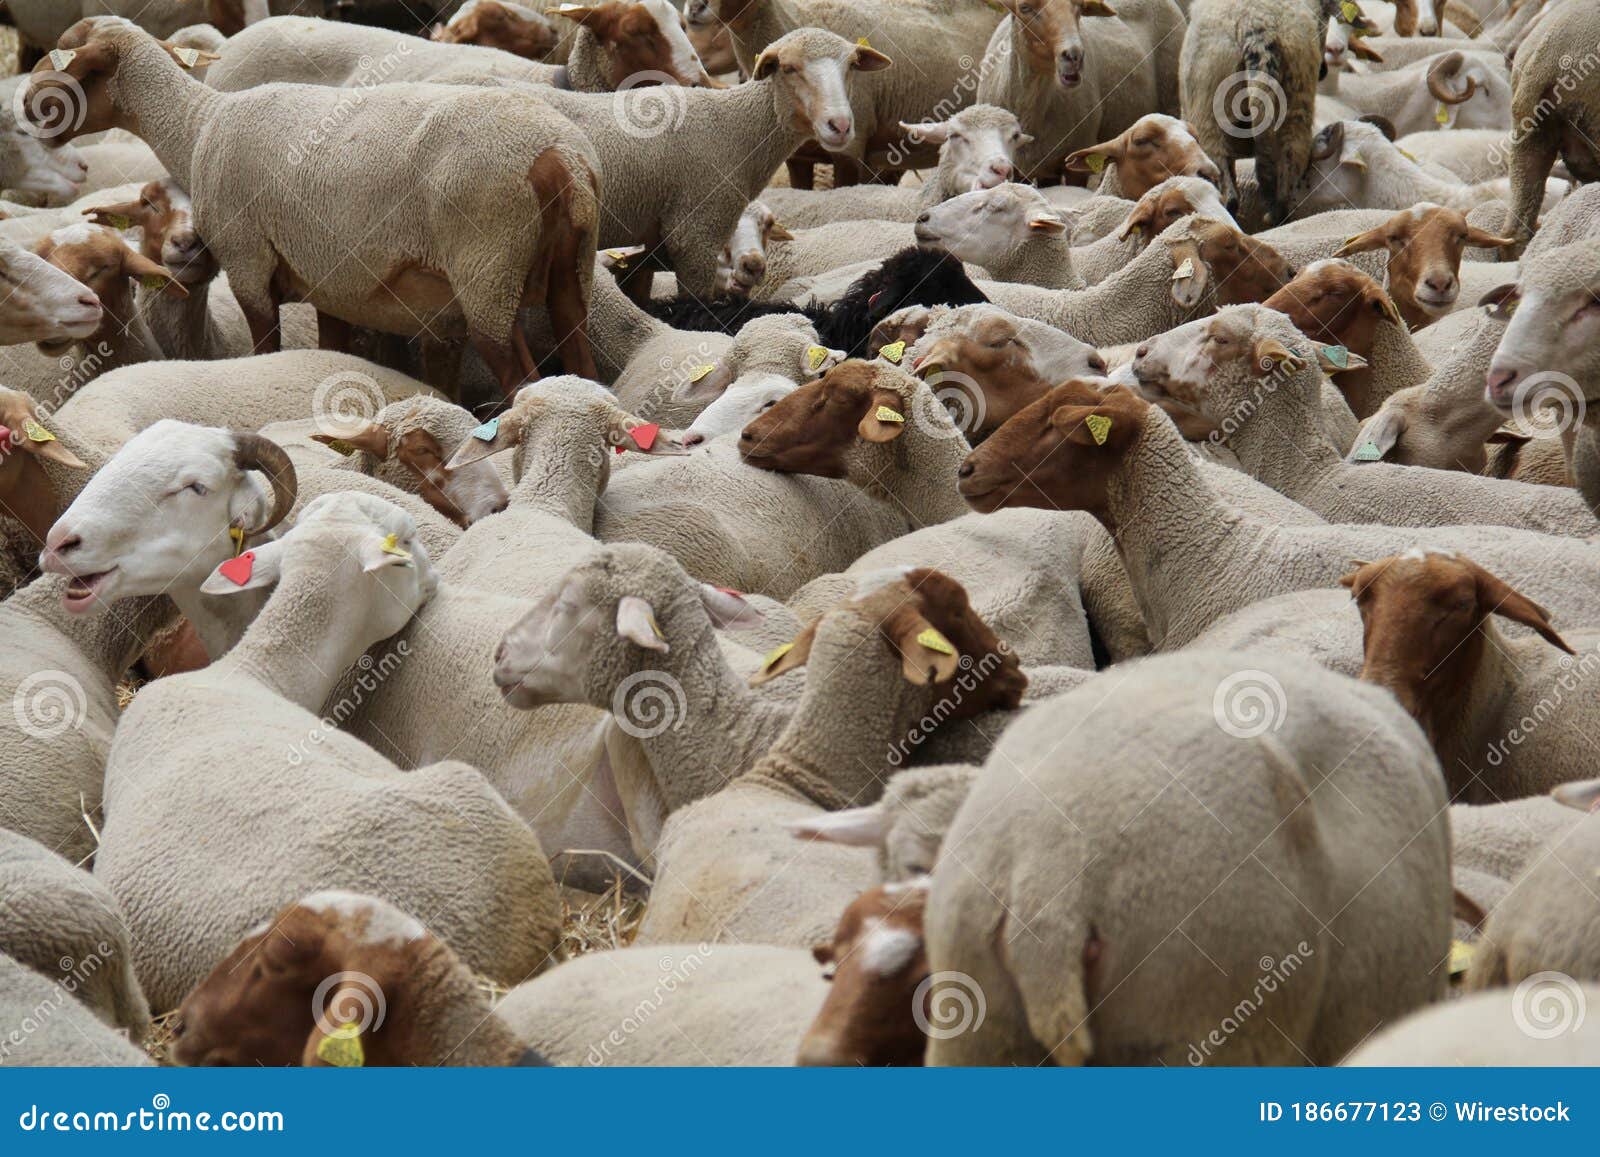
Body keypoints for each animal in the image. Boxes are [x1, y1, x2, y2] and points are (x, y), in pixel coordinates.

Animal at [34, 19, 603, 395]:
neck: (199, 124)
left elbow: (266, 348)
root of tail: (561, 157)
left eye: (75, 66)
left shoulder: (248, 260)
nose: (27, 108)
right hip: (571, 273)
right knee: (584, 367)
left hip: (488, 273)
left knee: (523, 380)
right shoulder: (330, 280)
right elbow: (331, 348)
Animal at [1181, 0, 1321, 225]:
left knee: (1224, 184)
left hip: (1208, 105)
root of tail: (1257, 25)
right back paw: (1278, 216)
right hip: (1298, 97)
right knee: (1293, 156)